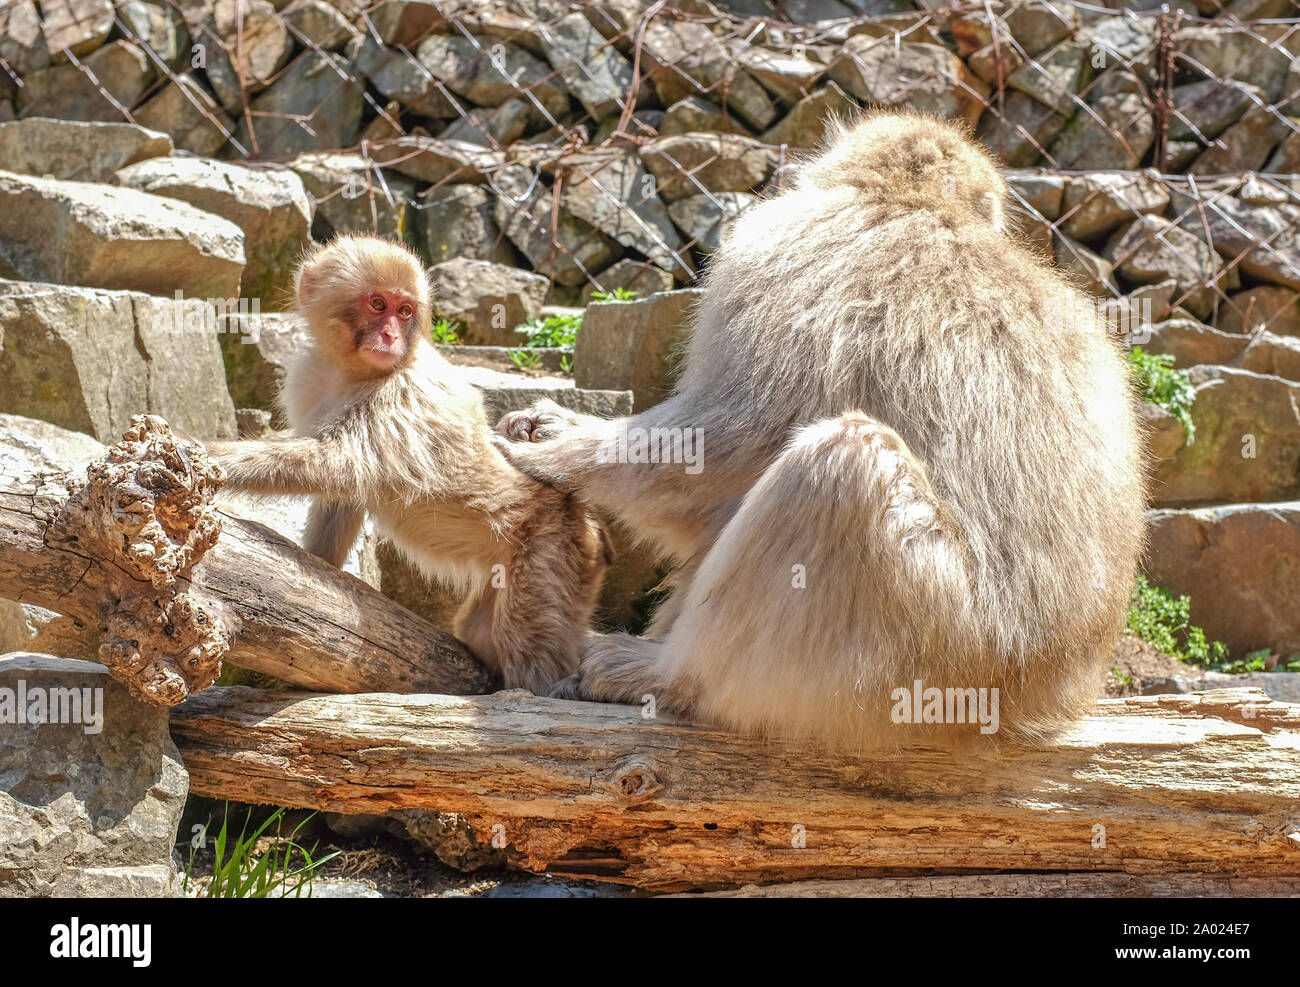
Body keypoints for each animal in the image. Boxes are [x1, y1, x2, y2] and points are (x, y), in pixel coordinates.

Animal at [209, 235, 610, 693]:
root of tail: (589, 527)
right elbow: (342, 496)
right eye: (377, 304)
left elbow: (333, 464)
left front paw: (199, 451)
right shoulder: (309, 382)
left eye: (404, 311)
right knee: (479, 630)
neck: (352, 374)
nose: (390, 335)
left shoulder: (400, 394)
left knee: (528, 641)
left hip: (550, 550)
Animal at [495, 111, 1147, 750]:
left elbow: (722, 443)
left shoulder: (771, 247)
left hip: (930, 651)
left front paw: (561, 448)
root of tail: (1038, 699)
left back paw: (669, 675)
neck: (912, 203)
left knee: (841, 461)